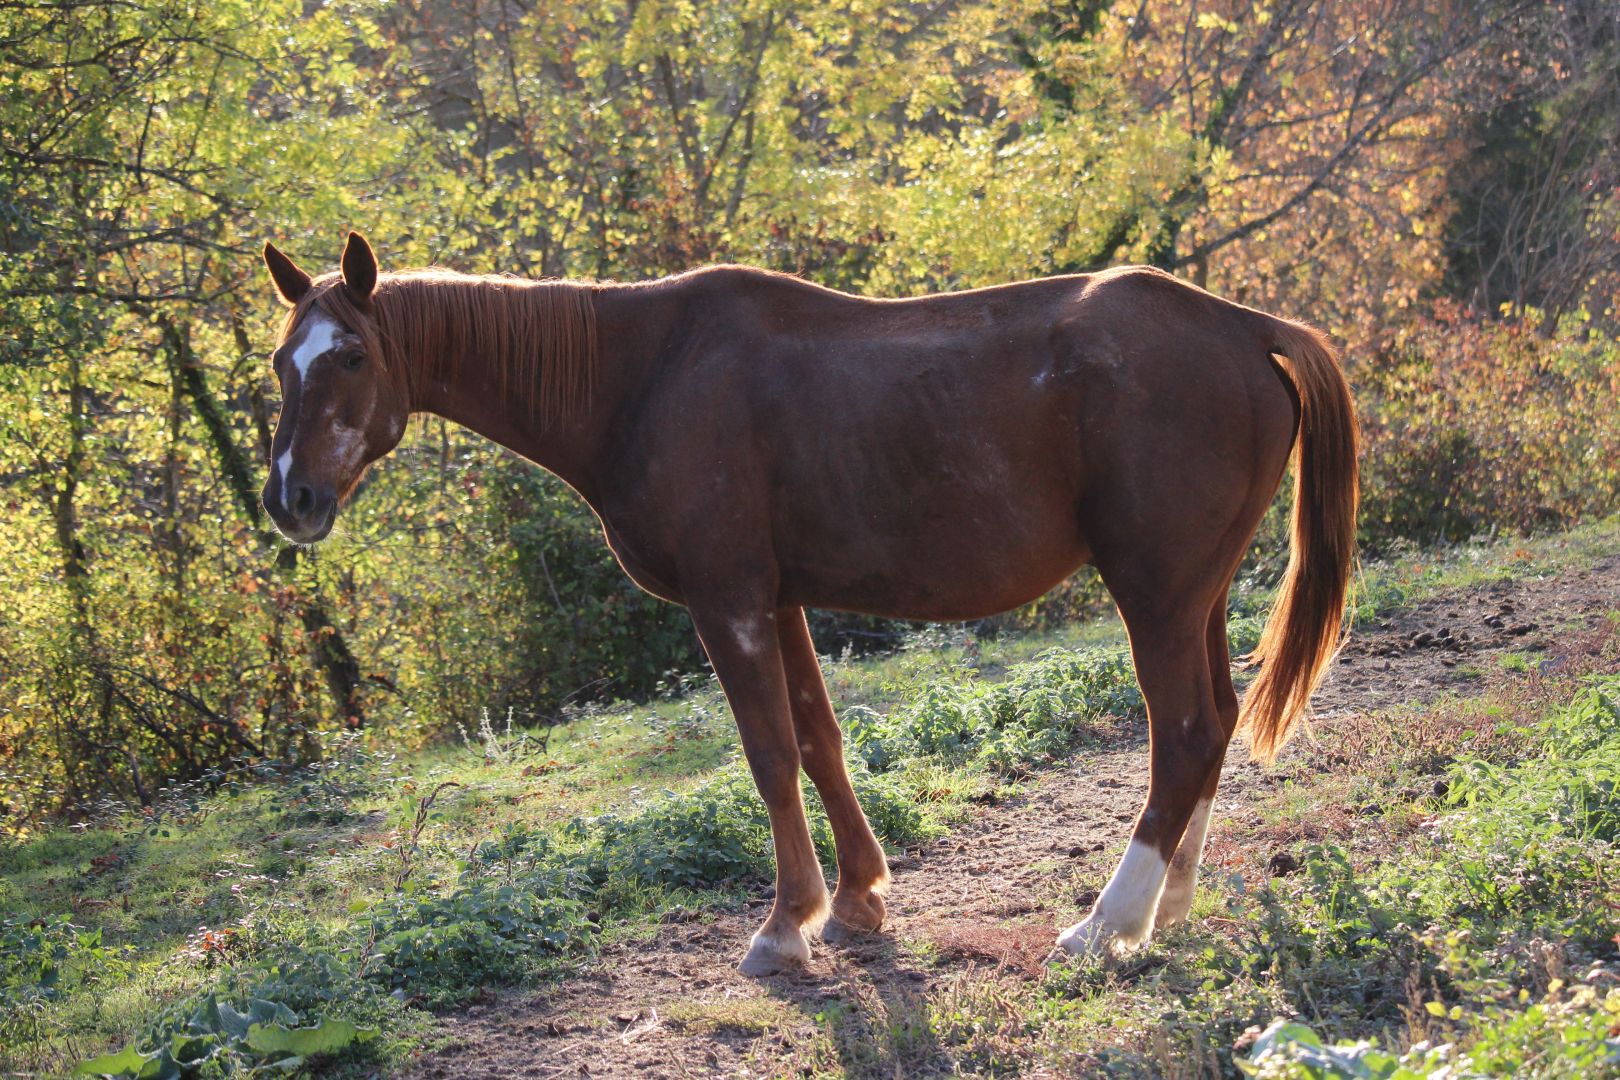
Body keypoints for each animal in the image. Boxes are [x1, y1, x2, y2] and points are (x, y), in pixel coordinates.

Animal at [259, 231, 1357, 975]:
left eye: (350, 357)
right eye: (280, 362)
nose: (290, 499)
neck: (638, 377)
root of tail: (1247, 328)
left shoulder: (727, 601)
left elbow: (769, 754)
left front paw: (788, 925)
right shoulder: (778, 599)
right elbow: (821, 740)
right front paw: (862, 898)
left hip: (1156, 592)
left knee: (1183, 732)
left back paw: (1106, 924)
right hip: (1195, 592)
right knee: (1214, 724)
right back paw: (1166, 908)